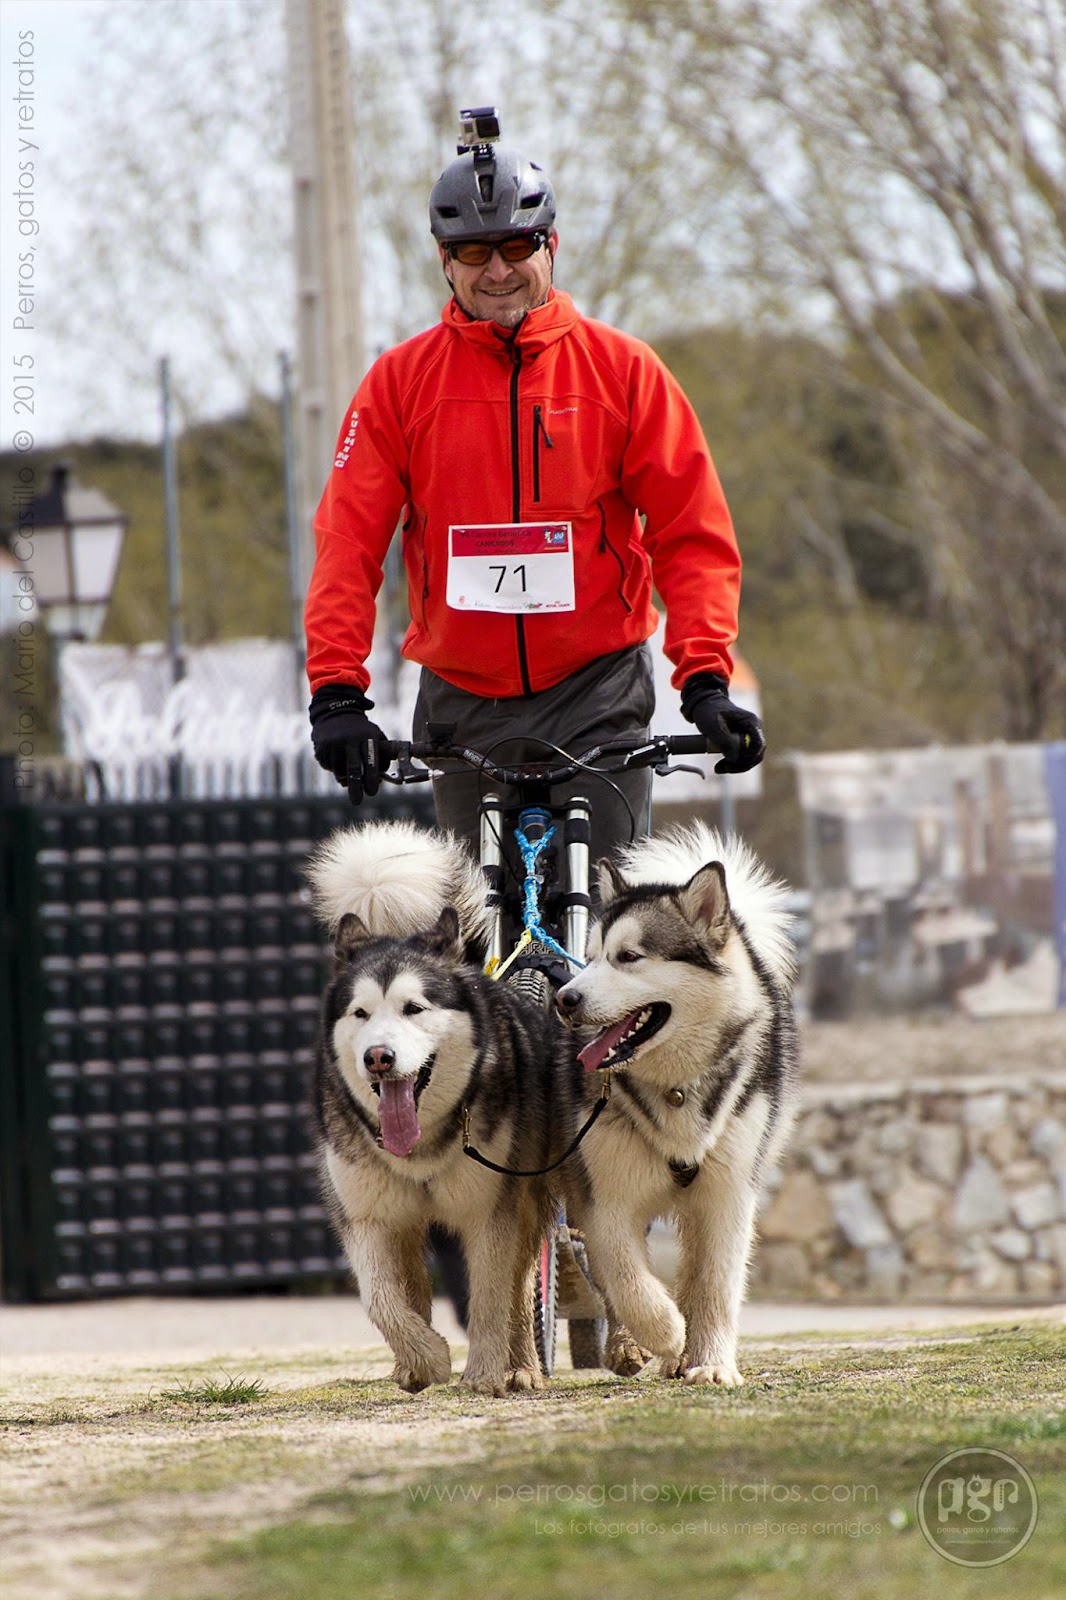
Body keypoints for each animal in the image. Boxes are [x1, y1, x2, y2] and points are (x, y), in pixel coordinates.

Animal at [307, 821, 581, 1396]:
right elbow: (381, 1299)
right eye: (360, 1013)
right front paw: (426, 1358)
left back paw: (524, 1365)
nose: (378, 1057)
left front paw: (483, 1373)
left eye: (414, 1008)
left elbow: (494, 1295)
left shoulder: (492, 1211)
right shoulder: (368, 1216)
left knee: (523, 1285)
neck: (422, 1148)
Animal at [556, 822, 798, 1388]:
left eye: (628, 957)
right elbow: (627, 1278)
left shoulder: (729, 1191)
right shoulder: (605, 1195)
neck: (674, 1086)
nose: (564, 998)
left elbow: (716, 1283)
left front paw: (710, 1362)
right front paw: (666, 1332)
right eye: (591, 956)